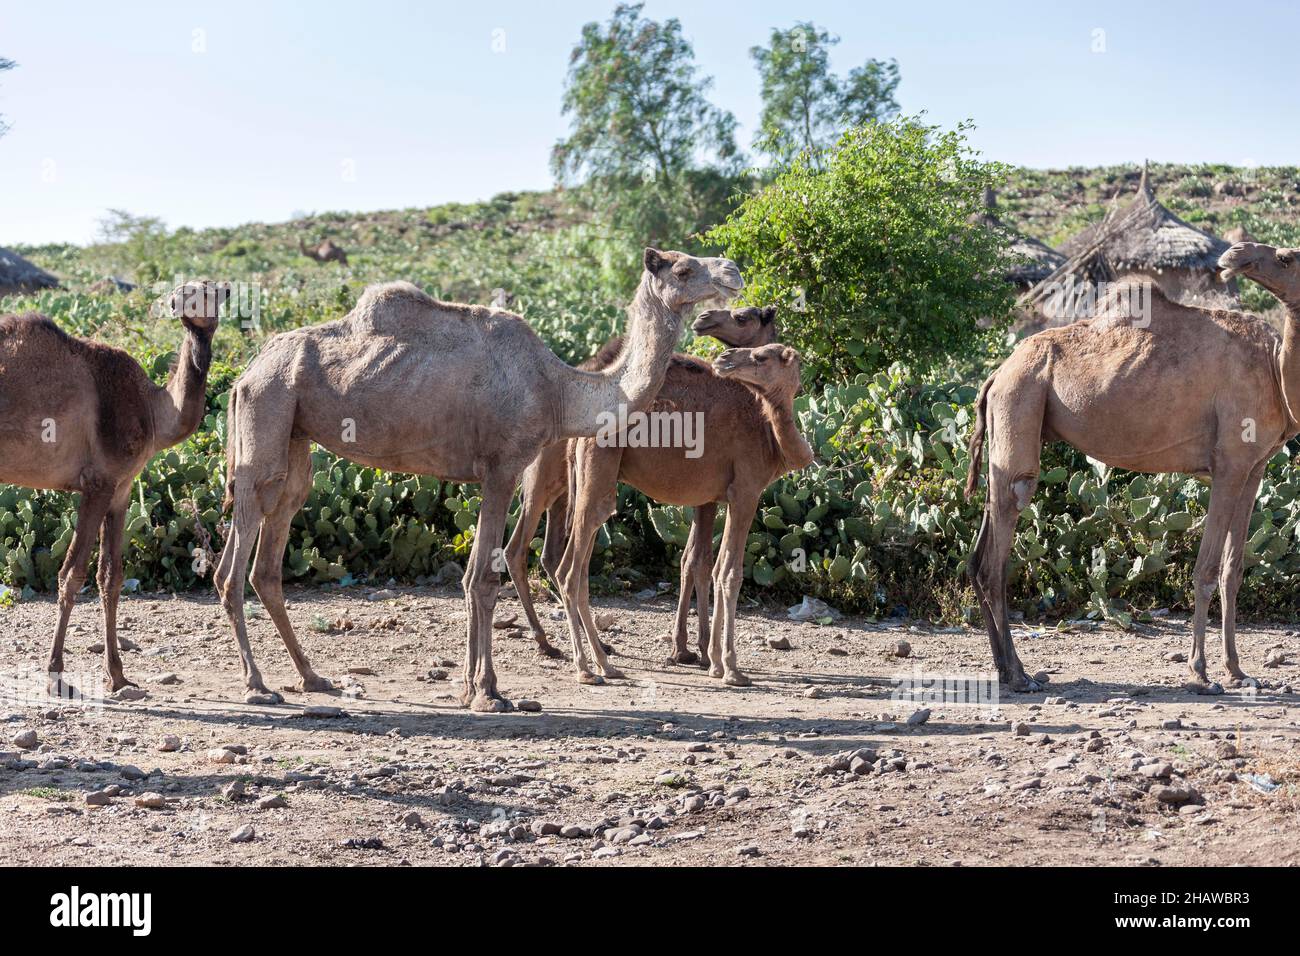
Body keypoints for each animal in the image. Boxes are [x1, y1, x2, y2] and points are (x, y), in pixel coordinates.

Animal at [0, 280, 229, 691]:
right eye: (186, 289)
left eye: (209, 291)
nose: (177, 302)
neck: (153, 411)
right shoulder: (98, 482)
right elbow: (72, 575)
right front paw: (55, 673)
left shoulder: (121, 490)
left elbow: (111, 577)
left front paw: (118, 675)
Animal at [215, 248, 742, 711]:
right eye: (682, 268)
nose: (733, 271)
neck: (558, 390)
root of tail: (247, 371)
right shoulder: (501, 468)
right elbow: (485, 577)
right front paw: (489, 692)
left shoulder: (491, 474)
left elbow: (474, 575)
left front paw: (470, 687)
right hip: (267, 409)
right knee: (234, 557)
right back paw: (257, 686)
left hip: (295, 435)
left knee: (272, 547)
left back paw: (311, 677)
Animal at [503, 306, 779, 660]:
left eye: (743, 316)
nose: (705, 318)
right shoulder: (711, 494)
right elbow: (699, 560)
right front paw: (698, 648)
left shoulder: (703, 495)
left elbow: (688, 558)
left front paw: (683, 646)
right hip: (543, 482)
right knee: (518, 551)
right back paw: (546, 641)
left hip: (562, 487)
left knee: (551, 553)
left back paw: (581, 642)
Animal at [554, 342, 812, 687]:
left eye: (761, 356)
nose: (724, 359)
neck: (770, 432)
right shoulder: (746, 490)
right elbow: (729, 572)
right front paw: (730, 668)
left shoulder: (716, 496)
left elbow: (705, 564)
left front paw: (710, 659)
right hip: (600, 472)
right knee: (570, 573)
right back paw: (586, 669)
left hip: (589, 480)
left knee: (577, 568)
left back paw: (605, 665)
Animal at [966, 242, 1300, 694]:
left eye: (1285, 258)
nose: (1235, 253)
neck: (1274, 368)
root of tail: (997, 373)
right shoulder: (1229, 463)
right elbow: (1206, 569)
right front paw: (1200, 673)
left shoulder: (1255, 468)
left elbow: (1233, 570)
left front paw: (1238, 671)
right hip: (1020, 399)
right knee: (1000, 545)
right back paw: (1020, 676)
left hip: (1003, 428)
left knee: (978, 553)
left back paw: (1004, 669)